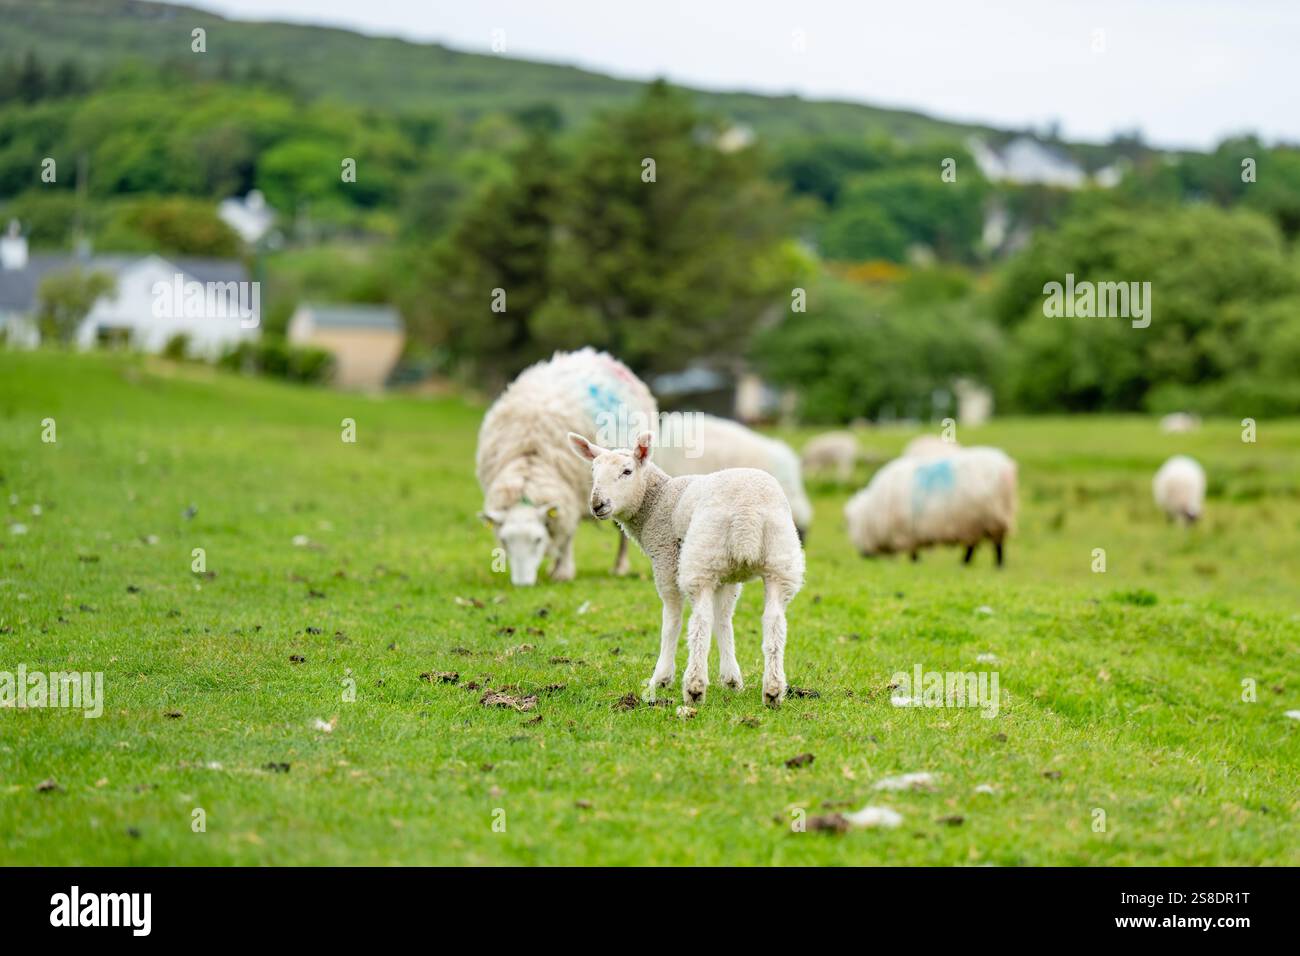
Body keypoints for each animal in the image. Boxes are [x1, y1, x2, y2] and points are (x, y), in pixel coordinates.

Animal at [477, 348, 657, 586]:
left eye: (537, 539)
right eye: (505, 540)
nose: (523, 585)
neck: (529, 459)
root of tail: (594, 354)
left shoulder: (575, 493)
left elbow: (567, 535)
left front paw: (563, 572)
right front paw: (556, 568)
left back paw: (619, 566)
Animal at [568, 430, 805, 707]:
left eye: (627, 471)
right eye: (593, 470)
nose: (597, 504)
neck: (657, 501)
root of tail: (747, 514)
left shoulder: (666, 557)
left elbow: (672, 620)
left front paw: (660, 679)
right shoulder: (729, 576)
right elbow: (724, 618)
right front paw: (732, 679)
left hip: (701, 556)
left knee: (700, 621)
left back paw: (694, 687)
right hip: (779, 559)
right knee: (773, 620)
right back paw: (773, 690)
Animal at [845, 446, 1017, 566]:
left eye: (854, 524)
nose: (862, 554)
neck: (873, 512)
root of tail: (1007, 466)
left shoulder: (907, 533)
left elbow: (913, 554)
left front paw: (915, 563)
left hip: (989, 519)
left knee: (994, 545)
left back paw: (991, 565)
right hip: (980, 521)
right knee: (976, 545)